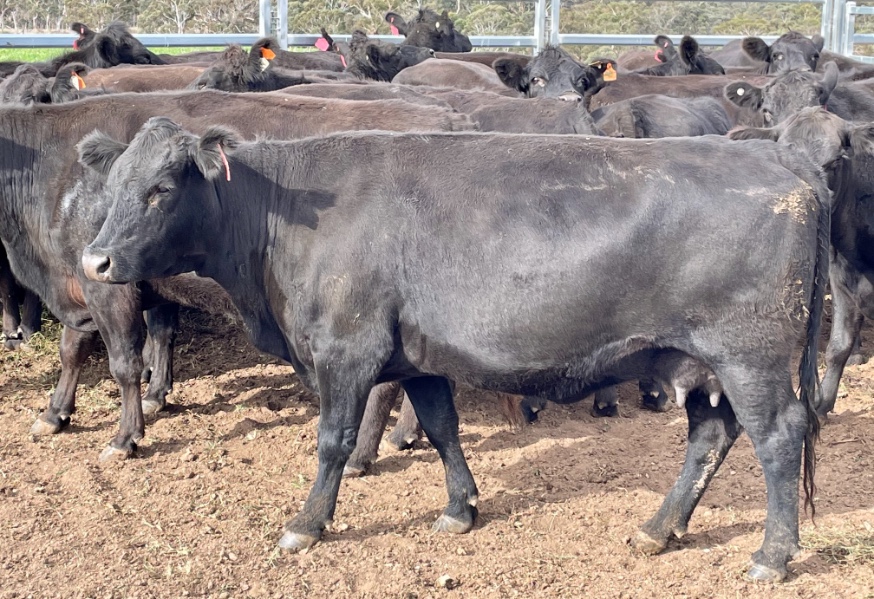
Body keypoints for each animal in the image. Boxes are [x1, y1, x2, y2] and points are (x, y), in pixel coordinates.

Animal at [82, 118, 827, 581]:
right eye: (112, 185)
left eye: (161, 188)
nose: (94, 260)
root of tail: (778, 155)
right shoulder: (417, 357)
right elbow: (441, 428)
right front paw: (460, 508)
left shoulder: (346, 351)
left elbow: (333, 440)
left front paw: (307, 523)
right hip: (699, 365)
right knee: (711, 435)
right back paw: (657, 528)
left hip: (750, 358)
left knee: (778, 437)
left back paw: (773, 554)